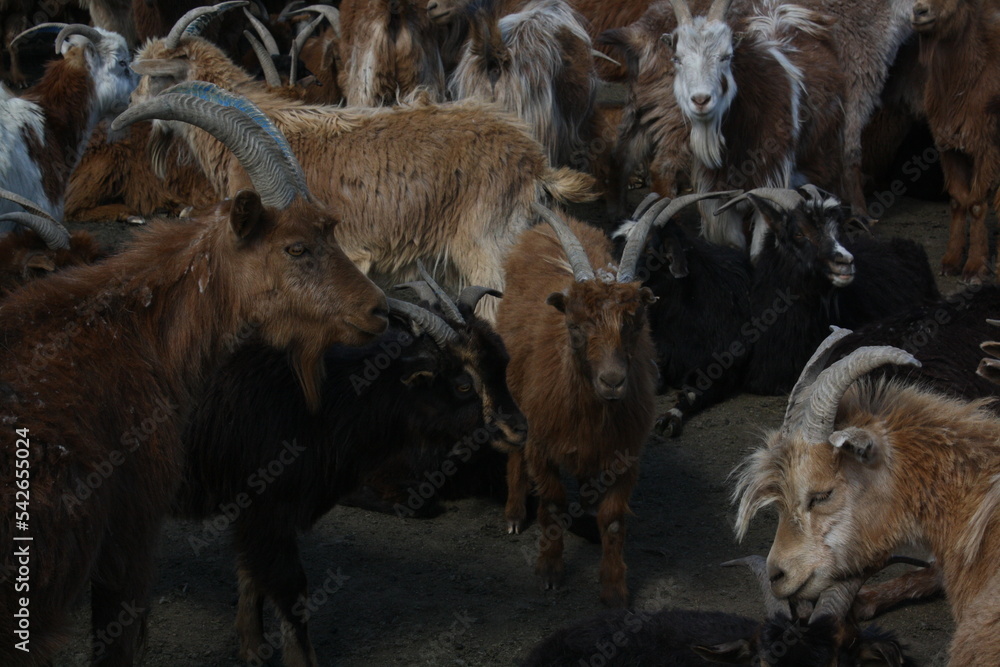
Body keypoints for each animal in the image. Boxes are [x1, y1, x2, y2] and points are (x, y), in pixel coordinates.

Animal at [175, 289, 524, 666]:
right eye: (462, 385)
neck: (325, 396)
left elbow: (251, 573)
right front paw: (299, 660)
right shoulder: (266, 506)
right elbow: (288, 587)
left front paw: (252, 648)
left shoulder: (252, 512)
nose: (519, 429)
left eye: (502, 364)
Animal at [497, 194, 726, 606]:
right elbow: (551, 503)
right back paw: (514, 513)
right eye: (574, 326)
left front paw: (614, 588)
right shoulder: (543, 442)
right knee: (515, 449)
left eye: (634, 323)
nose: (613, 381)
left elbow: (614, 519)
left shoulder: (623, 453)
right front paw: (549, 570)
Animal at [911, 0, 1000, 282]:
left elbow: (977, 204)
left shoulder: (987, 145)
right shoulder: (949, 147)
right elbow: (958, 201)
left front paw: (974, 267)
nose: (919, 11)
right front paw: (950, 261)